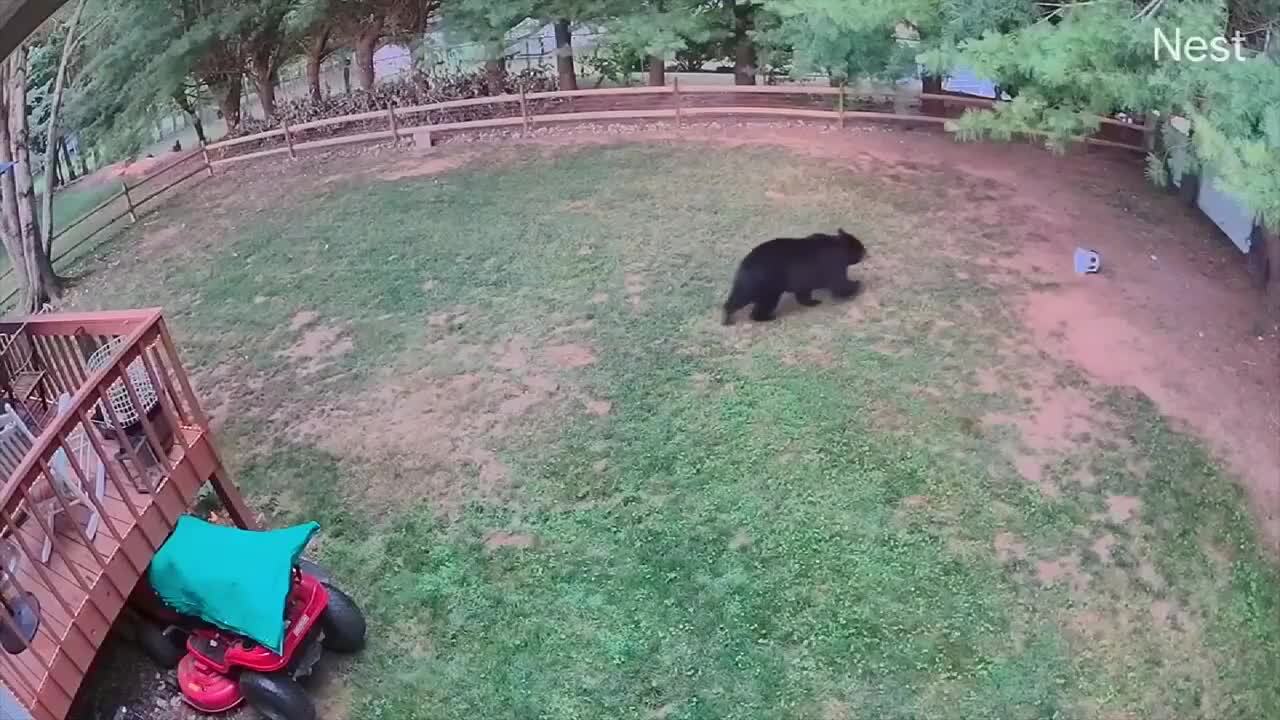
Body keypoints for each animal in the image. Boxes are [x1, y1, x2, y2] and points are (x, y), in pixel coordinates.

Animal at [721, 228, 866, 325]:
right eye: (860, 247)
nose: (865, 252)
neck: (839, 247)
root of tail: (745, 266)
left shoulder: (804, 278)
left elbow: (803, 293)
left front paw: (812, 302)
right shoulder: (833, 264)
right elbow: (839, 284)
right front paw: (857, 284)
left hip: (750, 285)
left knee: (739, 297)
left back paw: (727, 316)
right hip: (768, 285)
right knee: (762, 304)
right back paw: (766, 317)